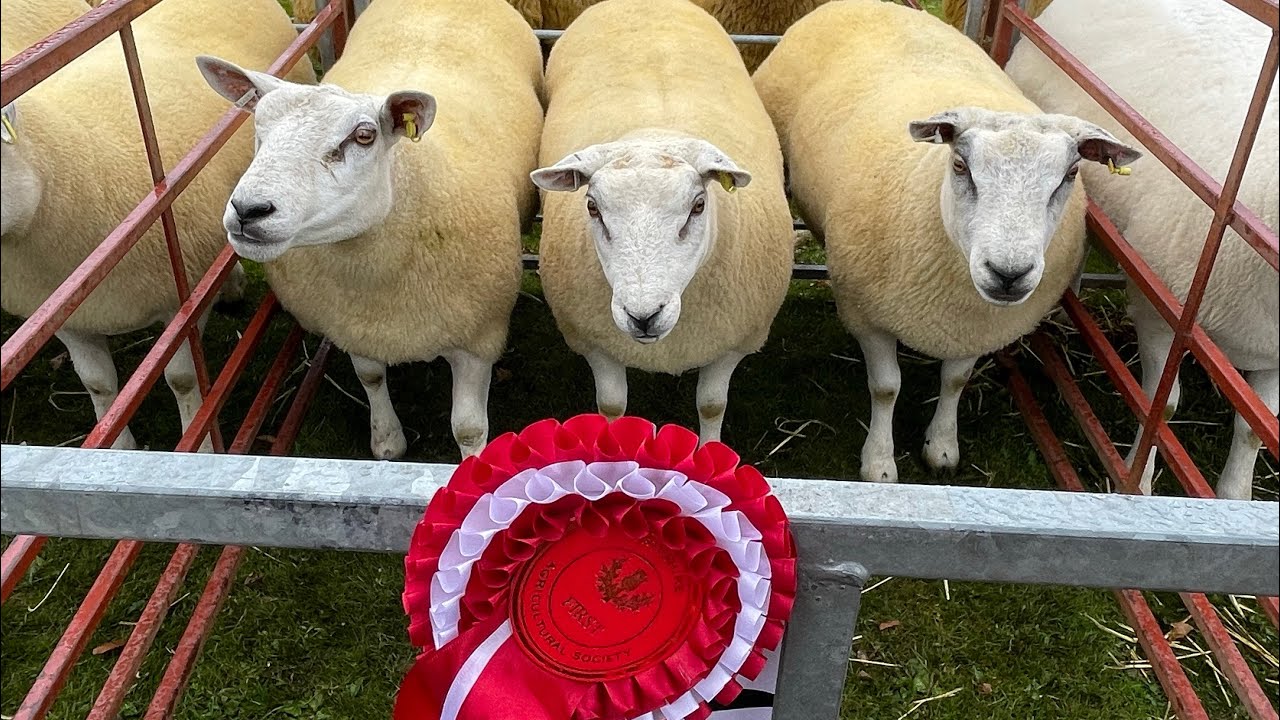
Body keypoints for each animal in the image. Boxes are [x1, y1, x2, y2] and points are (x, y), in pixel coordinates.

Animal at [1, 0, 311, 451]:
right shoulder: (64, 316)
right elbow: (97, 384)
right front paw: (118, 446)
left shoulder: (181, 301)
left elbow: (180, 378)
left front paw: (199, 442)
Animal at [198, 0, 544, 460]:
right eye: (258, 126)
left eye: (364, 136)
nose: (247, 210)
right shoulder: (355, 325)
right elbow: (371, 378)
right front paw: (387, 441)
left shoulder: (479, 338)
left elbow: (468, 429)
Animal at [531, 0, 794, 446]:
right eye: (593, 208)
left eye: (699, 205)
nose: (643, 316)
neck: (655, 132)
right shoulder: (597, 344)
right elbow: (611, 407)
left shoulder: (733, 342)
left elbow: (712, 405)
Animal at [752, 0, 1139, 483]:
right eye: (959, 165)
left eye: (1069, 174)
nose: (1008, 273)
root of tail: (862, 3)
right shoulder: (866, 313)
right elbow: (886, 388)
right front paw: (879, 462)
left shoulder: (974, 328)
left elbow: (955, 381)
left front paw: (941, 447)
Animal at [1005, 0, 1279, 500]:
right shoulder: (1160, 308)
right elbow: (1159, 407)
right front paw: (1141, 479)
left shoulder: (1273, 352)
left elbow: (1253, 429)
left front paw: (1235, 498)